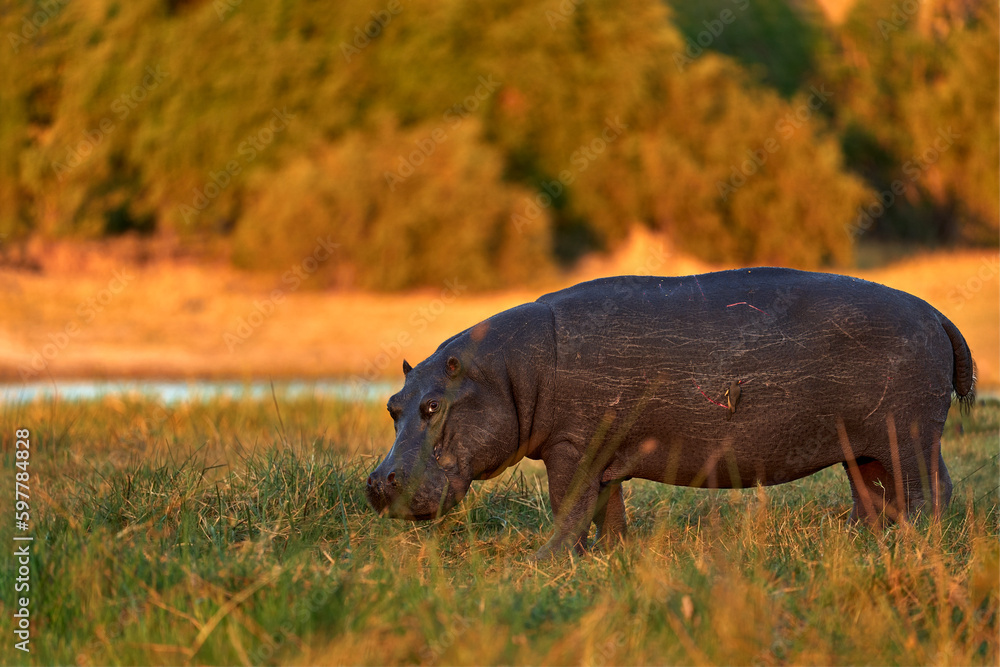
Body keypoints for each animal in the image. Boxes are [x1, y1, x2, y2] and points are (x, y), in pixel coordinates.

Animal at [365, 268, 976, 558]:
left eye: (432, 406)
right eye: (392, 406)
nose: (376, 484)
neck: (505, 373)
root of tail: (938, 313)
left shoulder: (570, 447)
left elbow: (568, 506)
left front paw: (545, 561)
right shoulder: (599, 451)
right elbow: (606, 509)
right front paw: (613, 556)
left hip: (909, 435)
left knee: (928, 489)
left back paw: (915, 543)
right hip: (863, 445)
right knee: (872, 493)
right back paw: (853, 544)